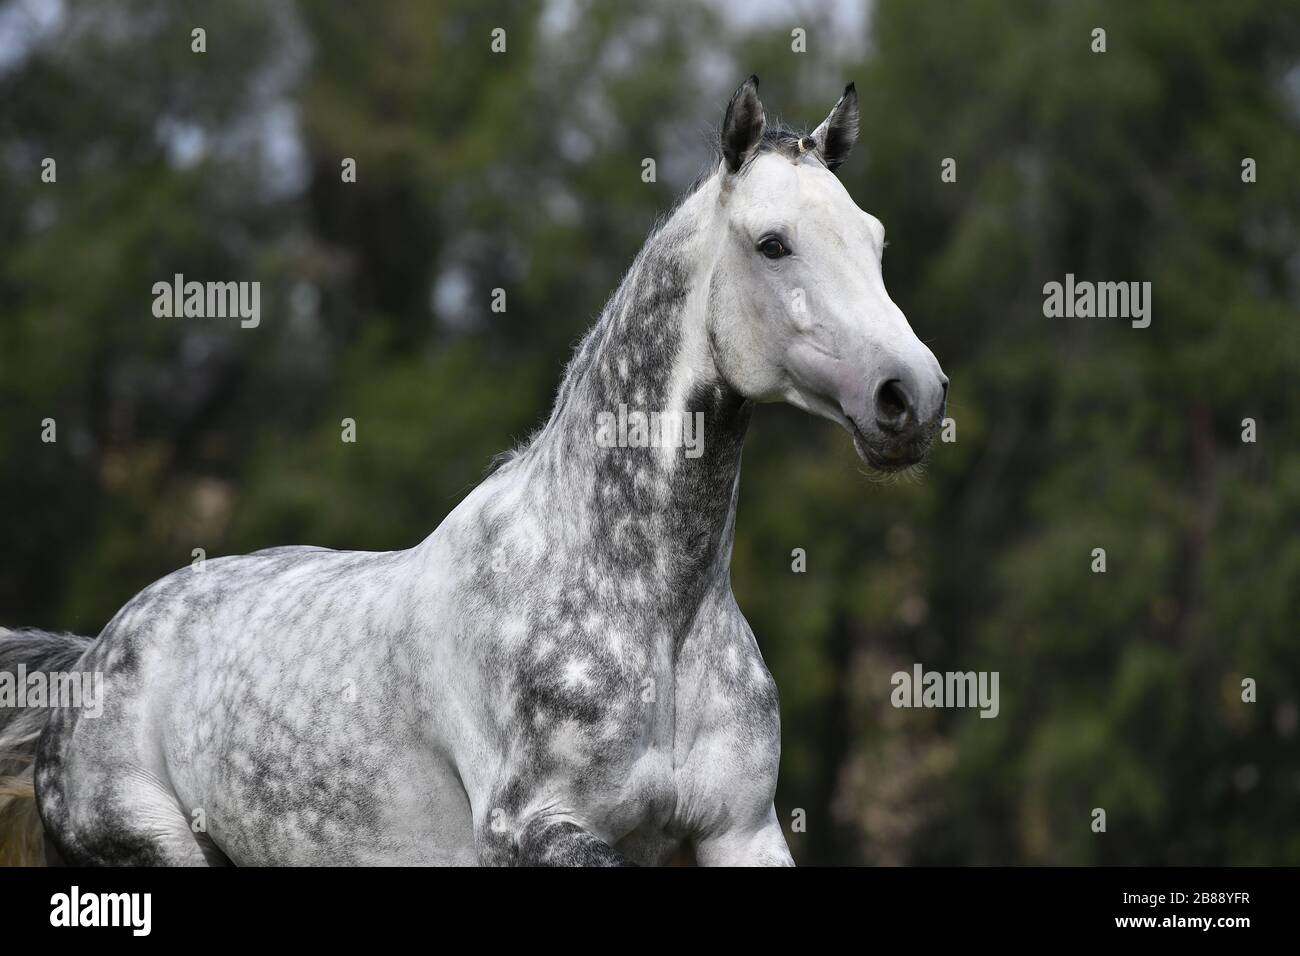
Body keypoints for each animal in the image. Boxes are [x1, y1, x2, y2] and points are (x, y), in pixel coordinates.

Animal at [0, 76, 947, 866]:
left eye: (874, 240)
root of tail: (93, 654)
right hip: (151, 845)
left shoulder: (740, 831)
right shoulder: (530, 829)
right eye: (772, 243)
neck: (647, 609)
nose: (912, 395)